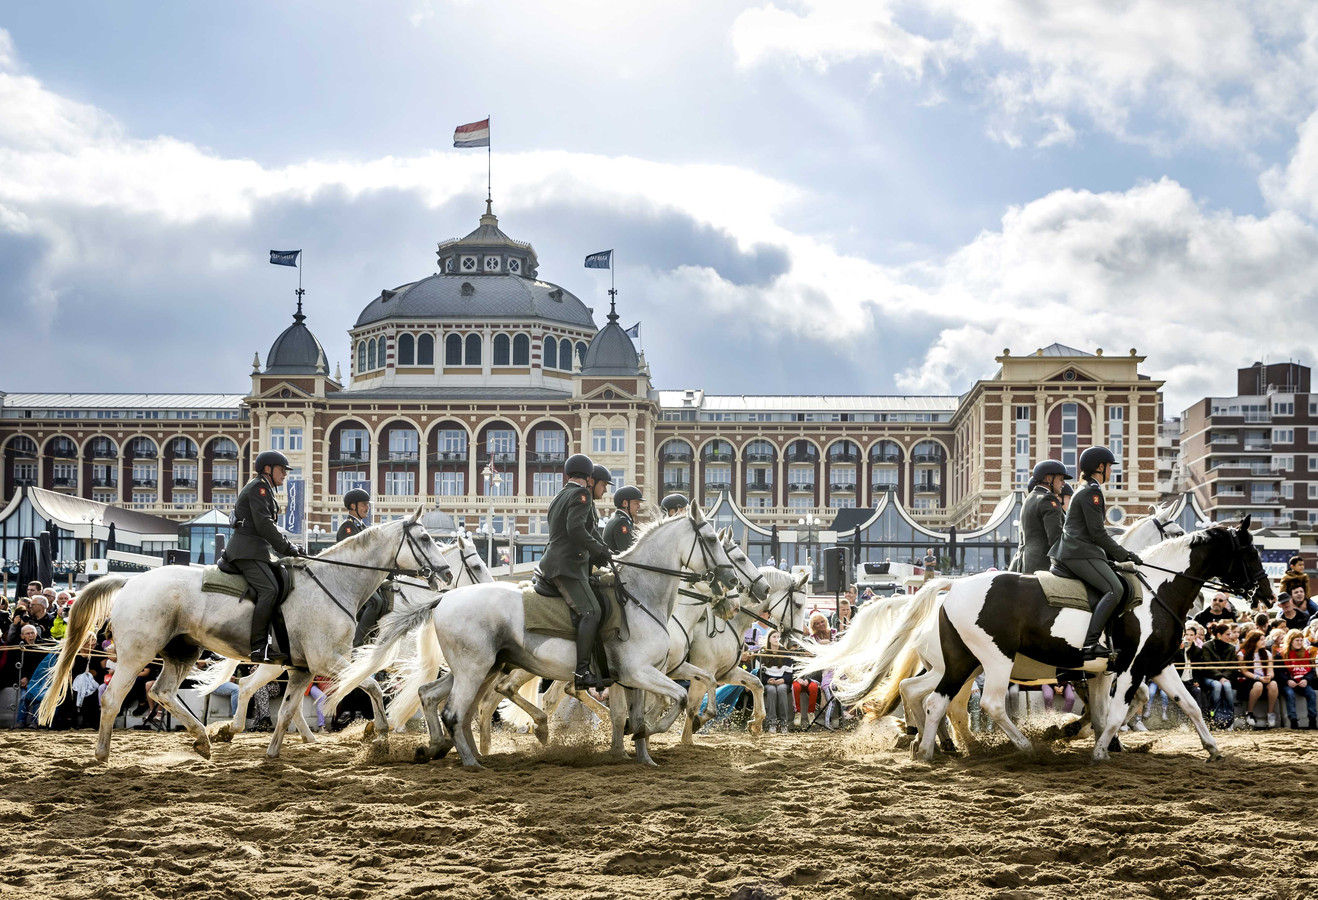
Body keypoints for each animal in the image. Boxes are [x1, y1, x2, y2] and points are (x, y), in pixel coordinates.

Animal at [36, 509, 452, 763]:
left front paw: (273, 755)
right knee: (112, 699)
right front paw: (377, 733)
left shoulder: (301, 669)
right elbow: (373, 687)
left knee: (163, 692)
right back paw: (103, 754)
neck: (336, 580)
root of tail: (131, 581)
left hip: (182, 652)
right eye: (425, 538)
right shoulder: (327, 660)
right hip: (137, 655)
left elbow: (286, 711)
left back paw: (205, 738)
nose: (447, 574)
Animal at [193, 533, 490, 744]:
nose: (489, 586)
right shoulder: (400, 662)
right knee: (259, 690)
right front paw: (393, 724)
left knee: (253, 688)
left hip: (280, 664)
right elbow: (403, 688)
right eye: (476, 565)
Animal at [332, 502, 744, 768]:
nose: (733, 583)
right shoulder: (639, 672)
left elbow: (644, 712)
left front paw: (644, 755)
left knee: (431, 696)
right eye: (712, 540)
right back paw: (470, 761)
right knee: (454, 711)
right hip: (475, 669)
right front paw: (647, 732)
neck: (641, 595)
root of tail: (445, 597)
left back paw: (437, 748)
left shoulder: (634, 678)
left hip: (477, 669)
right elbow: (677, 699)